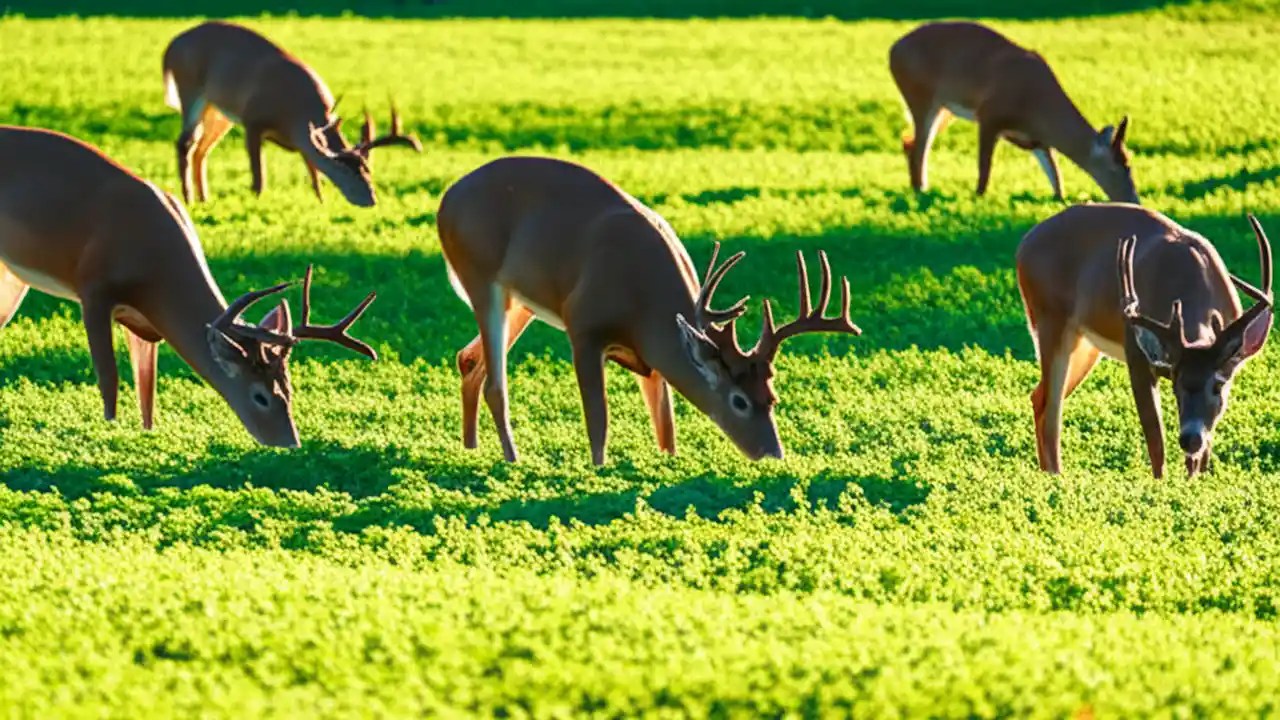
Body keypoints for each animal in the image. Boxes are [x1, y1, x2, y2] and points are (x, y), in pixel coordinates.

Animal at [0, 125, 379, 446]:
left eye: (288, 389)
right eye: (259, 396)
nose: (289, 443)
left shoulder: (144, 324)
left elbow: (147, 392)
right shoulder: (93, 290)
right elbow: (110, 379)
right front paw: (110, 430)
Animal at [162, 20, 422, 207]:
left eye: (367, 168)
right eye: (343, 170)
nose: (370, 200)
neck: (293, 114)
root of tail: (172, 44)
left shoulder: (304, 138)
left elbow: (314, 175)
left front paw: (321, 202)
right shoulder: (253, 121)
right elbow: (259, 177)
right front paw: (257, 202)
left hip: (219, 113)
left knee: (201, 150)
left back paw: (204, 199)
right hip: (190, 88)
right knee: (185, 143)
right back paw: (188, 199)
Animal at [436, 156, 862, 466]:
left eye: (771, 398)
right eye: (738, 401)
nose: (773, 455)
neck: (642, 303)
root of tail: (447, 199)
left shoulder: (652, 357)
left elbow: (666, 429)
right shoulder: (585, 327)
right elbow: (599, 421)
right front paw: (599, 471)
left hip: (521, 302)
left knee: (469, 360)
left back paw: (470, 449)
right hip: (480, 275)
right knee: (496, 384)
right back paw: (512, 460)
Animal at [889, 21, 1139, 204]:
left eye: (1130, 160)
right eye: (1119, 166)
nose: (1134, 201)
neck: (1036, 108)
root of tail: (893, 49)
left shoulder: (1037, 139)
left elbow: (1054, 171)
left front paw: (1060, 199)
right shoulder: (989, 115)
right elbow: (985, 167)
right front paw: (979, 197)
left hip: (943, 109)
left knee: (909, 142)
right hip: (921, 95)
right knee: (919, 148)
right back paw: (921, 191)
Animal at [1016, 204, 1272, 478]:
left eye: (1218, 386)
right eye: (1176, 386)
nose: (1190, 439)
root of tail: (1024, 245)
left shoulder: (1229, 368)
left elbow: (1203, 449)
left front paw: (1196, 480)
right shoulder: (1136, 353)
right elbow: (1156, 439)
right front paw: (1162, 483)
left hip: (1085, 346)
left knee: (1038, 397)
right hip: (1048, 318)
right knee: (1051, 408)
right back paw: (1056, 477)